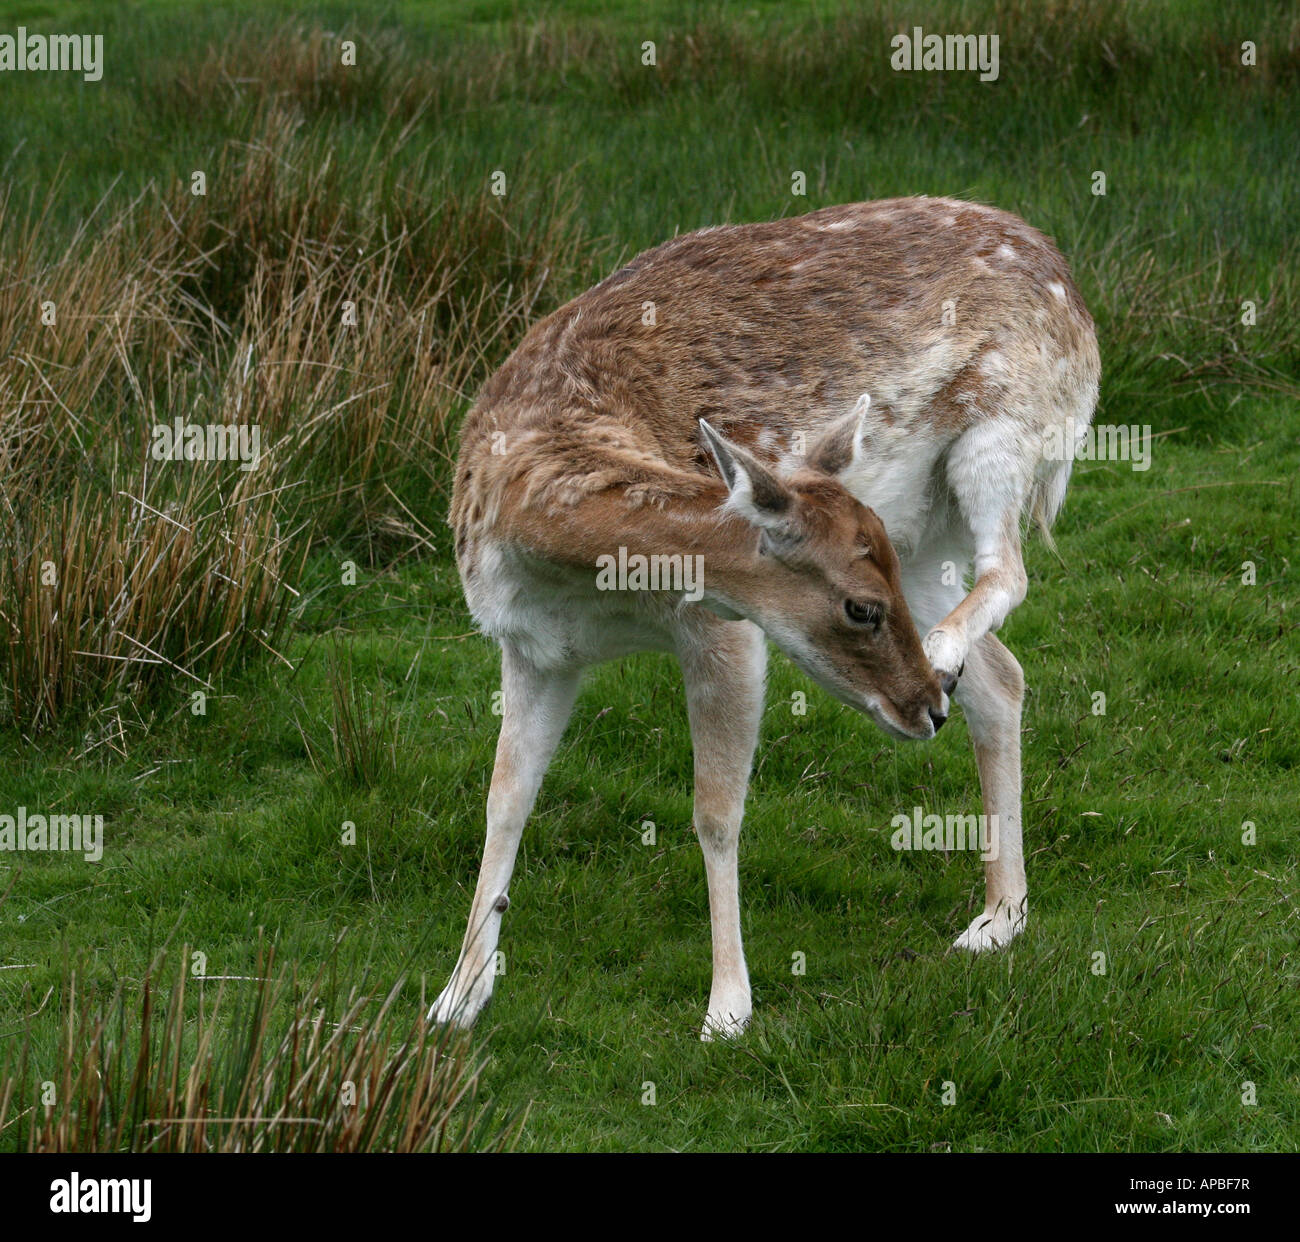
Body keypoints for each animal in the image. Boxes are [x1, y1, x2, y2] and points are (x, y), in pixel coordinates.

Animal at [432, 196, 1100, 1040]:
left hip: (1003, 432)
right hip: (921, 534)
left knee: (1009, 570)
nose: (923, 710)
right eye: (860, 607)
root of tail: (1069, 280)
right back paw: (999, 914)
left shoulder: (725, 630)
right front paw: (456, 996)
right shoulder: (533, 646)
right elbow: (504, 799)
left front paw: (726, 1007)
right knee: (1002, 676)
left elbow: (715, 813)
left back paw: (949, 666)